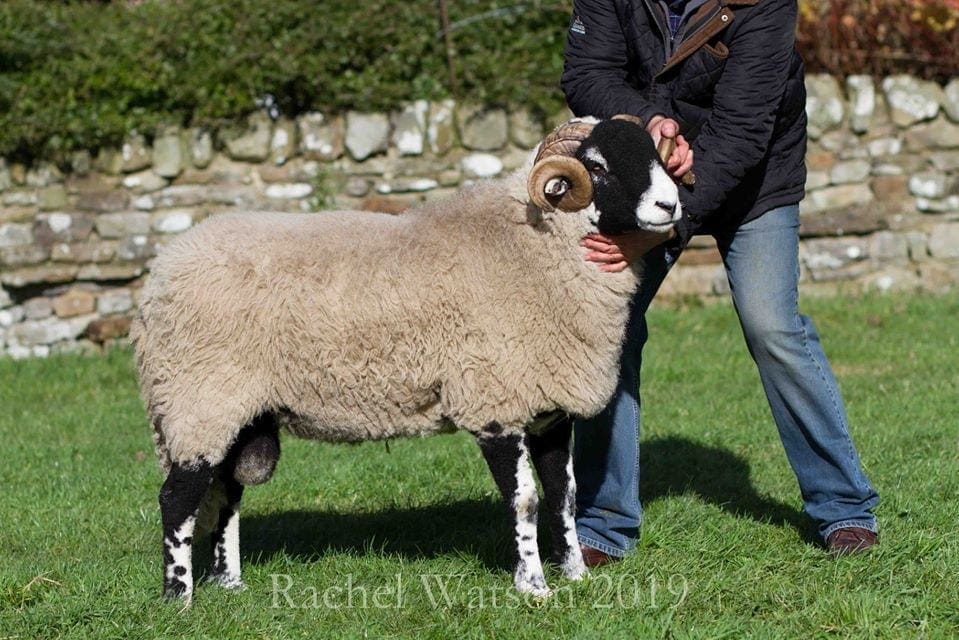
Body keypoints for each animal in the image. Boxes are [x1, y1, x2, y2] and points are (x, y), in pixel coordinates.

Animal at [131, 116, 682, 602]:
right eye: (599, 166)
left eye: (656, 156)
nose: (670, 204)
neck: (531, 244)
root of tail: (162, 269)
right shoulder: (494, 401)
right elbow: (524, 499)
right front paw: (533, 587)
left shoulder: (547, 409)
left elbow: (562, 495)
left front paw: (575, 576)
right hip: (198, 398)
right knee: (178, 498)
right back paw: (178, 597)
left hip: (238, 412)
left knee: (226, 492)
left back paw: (230, 583)